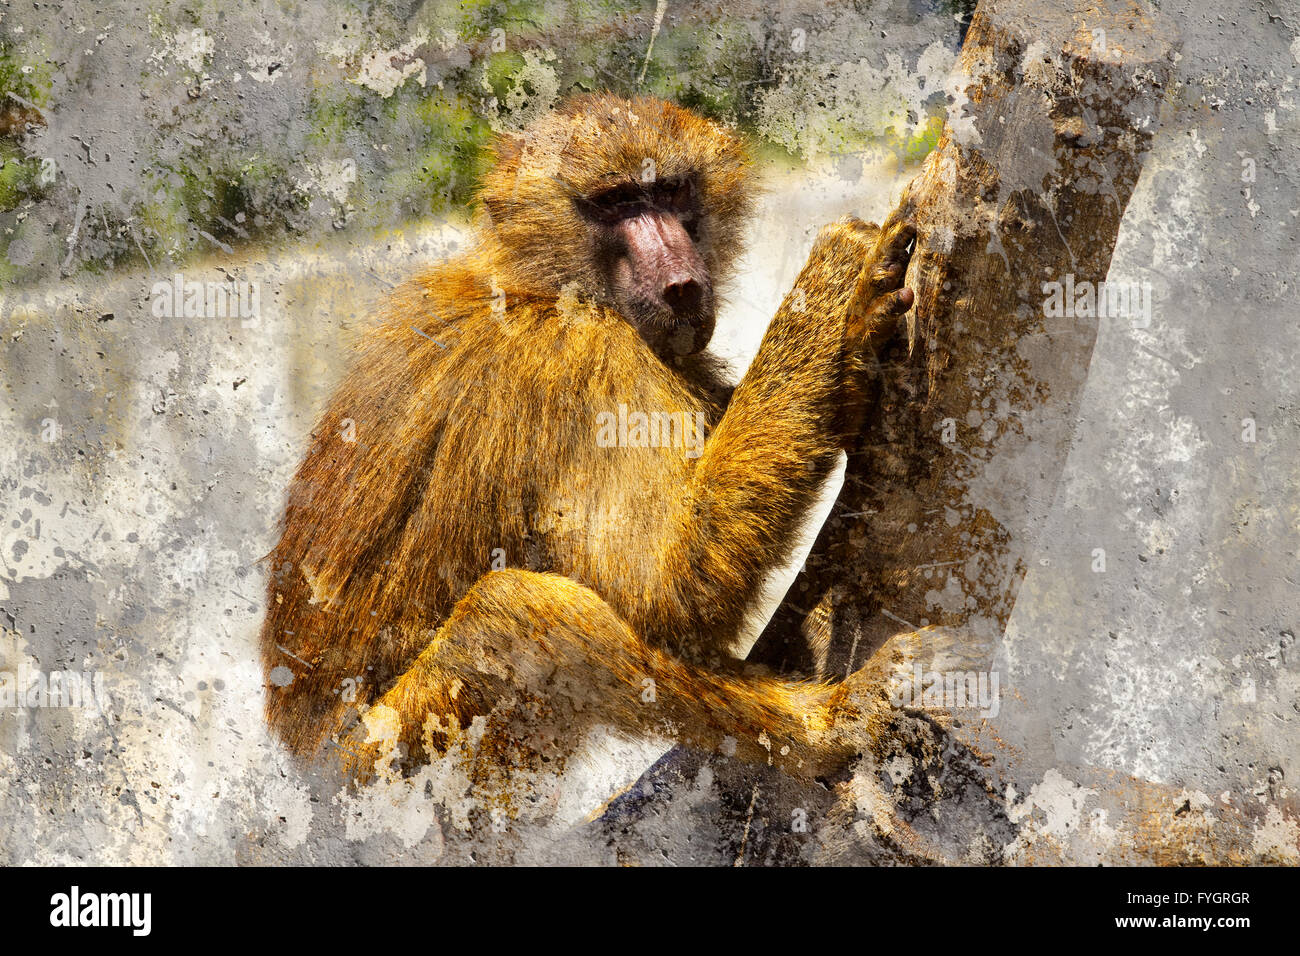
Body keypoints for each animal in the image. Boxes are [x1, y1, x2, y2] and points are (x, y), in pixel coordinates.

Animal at [259, 93, 918, 801]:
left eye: (670, 191)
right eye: (616, 203)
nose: (683, 285)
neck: (537, 284)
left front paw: (848, 368)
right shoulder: (584, 356)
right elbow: (665, 586)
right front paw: (836, 288)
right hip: (389, 763)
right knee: (513, 619)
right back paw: (821, 731)